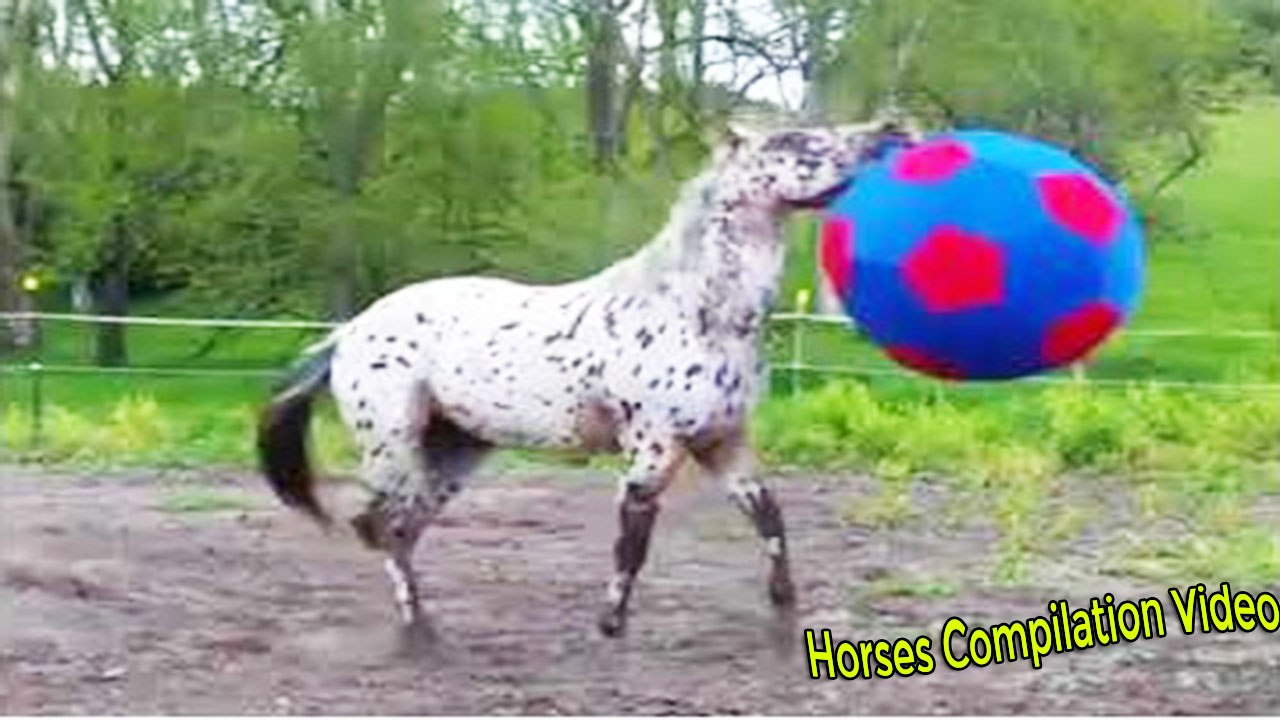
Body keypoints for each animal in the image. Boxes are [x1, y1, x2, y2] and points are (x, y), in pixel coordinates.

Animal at [257, 119, 918, 638]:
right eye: (793, 139)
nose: (890, 132)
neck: (694, 310)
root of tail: (347, 333)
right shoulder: (654, 449)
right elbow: (633, 543)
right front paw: (610, 626)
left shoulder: (723, 442)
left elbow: (770, 520)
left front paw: (785, 610)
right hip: (394, 446)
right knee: (381, 527)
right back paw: (417, 627)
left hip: (454, 451)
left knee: (400, 529)